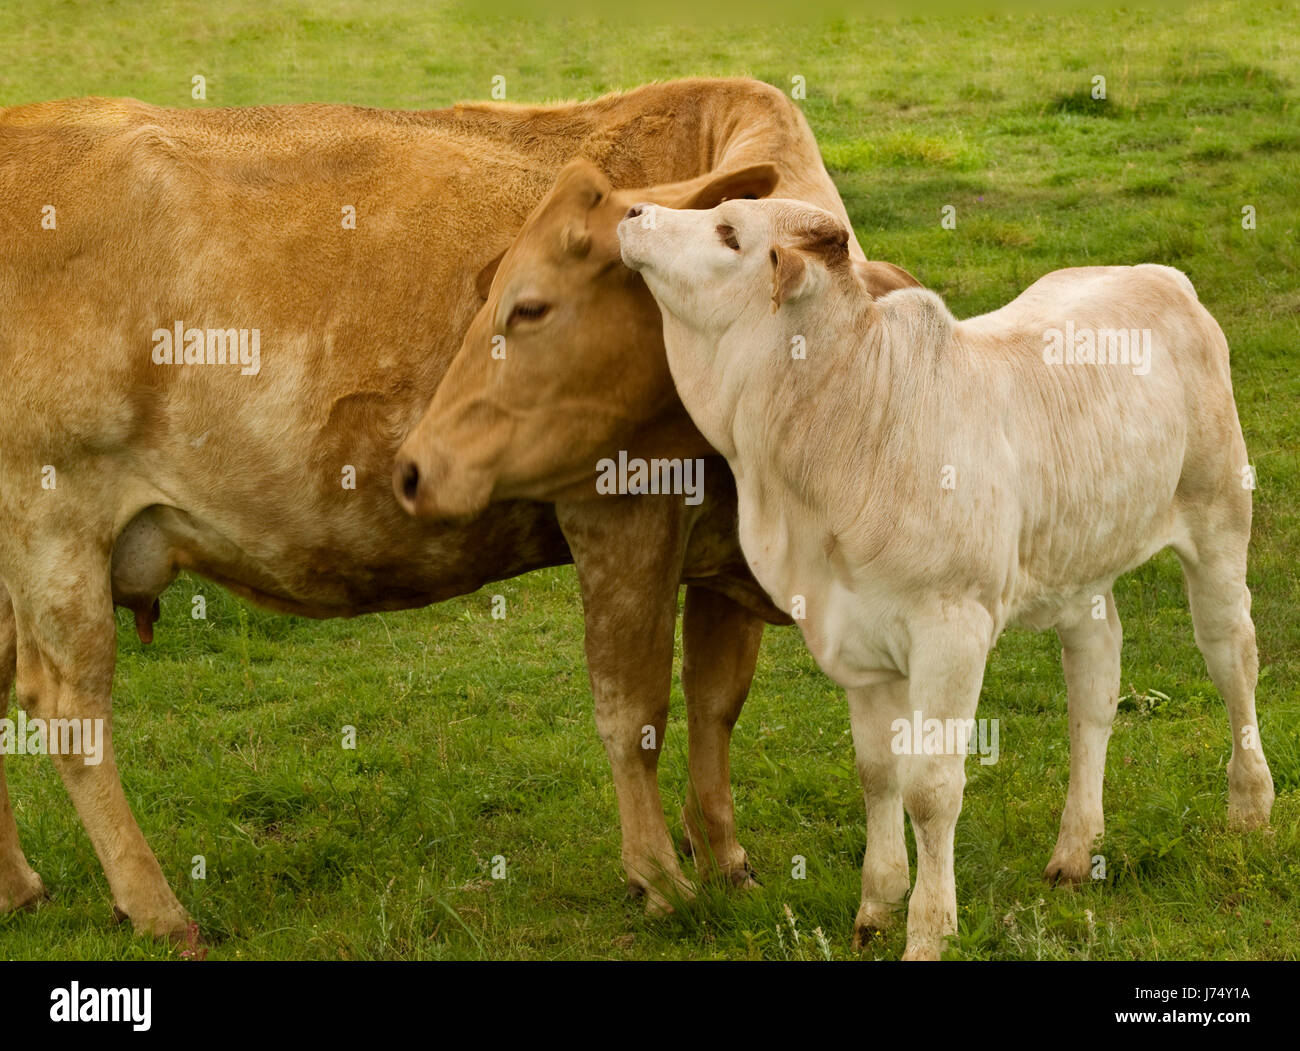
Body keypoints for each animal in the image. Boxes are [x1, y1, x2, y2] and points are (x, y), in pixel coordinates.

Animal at [0, 79, 860, 939]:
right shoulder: (622, 508)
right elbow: (633, 708)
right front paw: (658, 877)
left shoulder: (729, 540)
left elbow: (717, 701)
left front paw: (727, 860)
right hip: (54, 519)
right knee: (69, 708)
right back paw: (156, 907)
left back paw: (19, 885)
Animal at [614, 196, 1275, 959]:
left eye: (728, 233)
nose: (633, 209)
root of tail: (1157, 274)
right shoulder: (855, 636)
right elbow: (878, 773)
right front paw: (876, 906)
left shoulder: (950, 628)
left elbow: (930, 789)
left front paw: (929, 928)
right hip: (1080, 565)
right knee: (1094, 690)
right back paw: (1075, 850)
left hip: (1218, 514)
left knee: (1231, 654)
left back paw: (1250, 808)